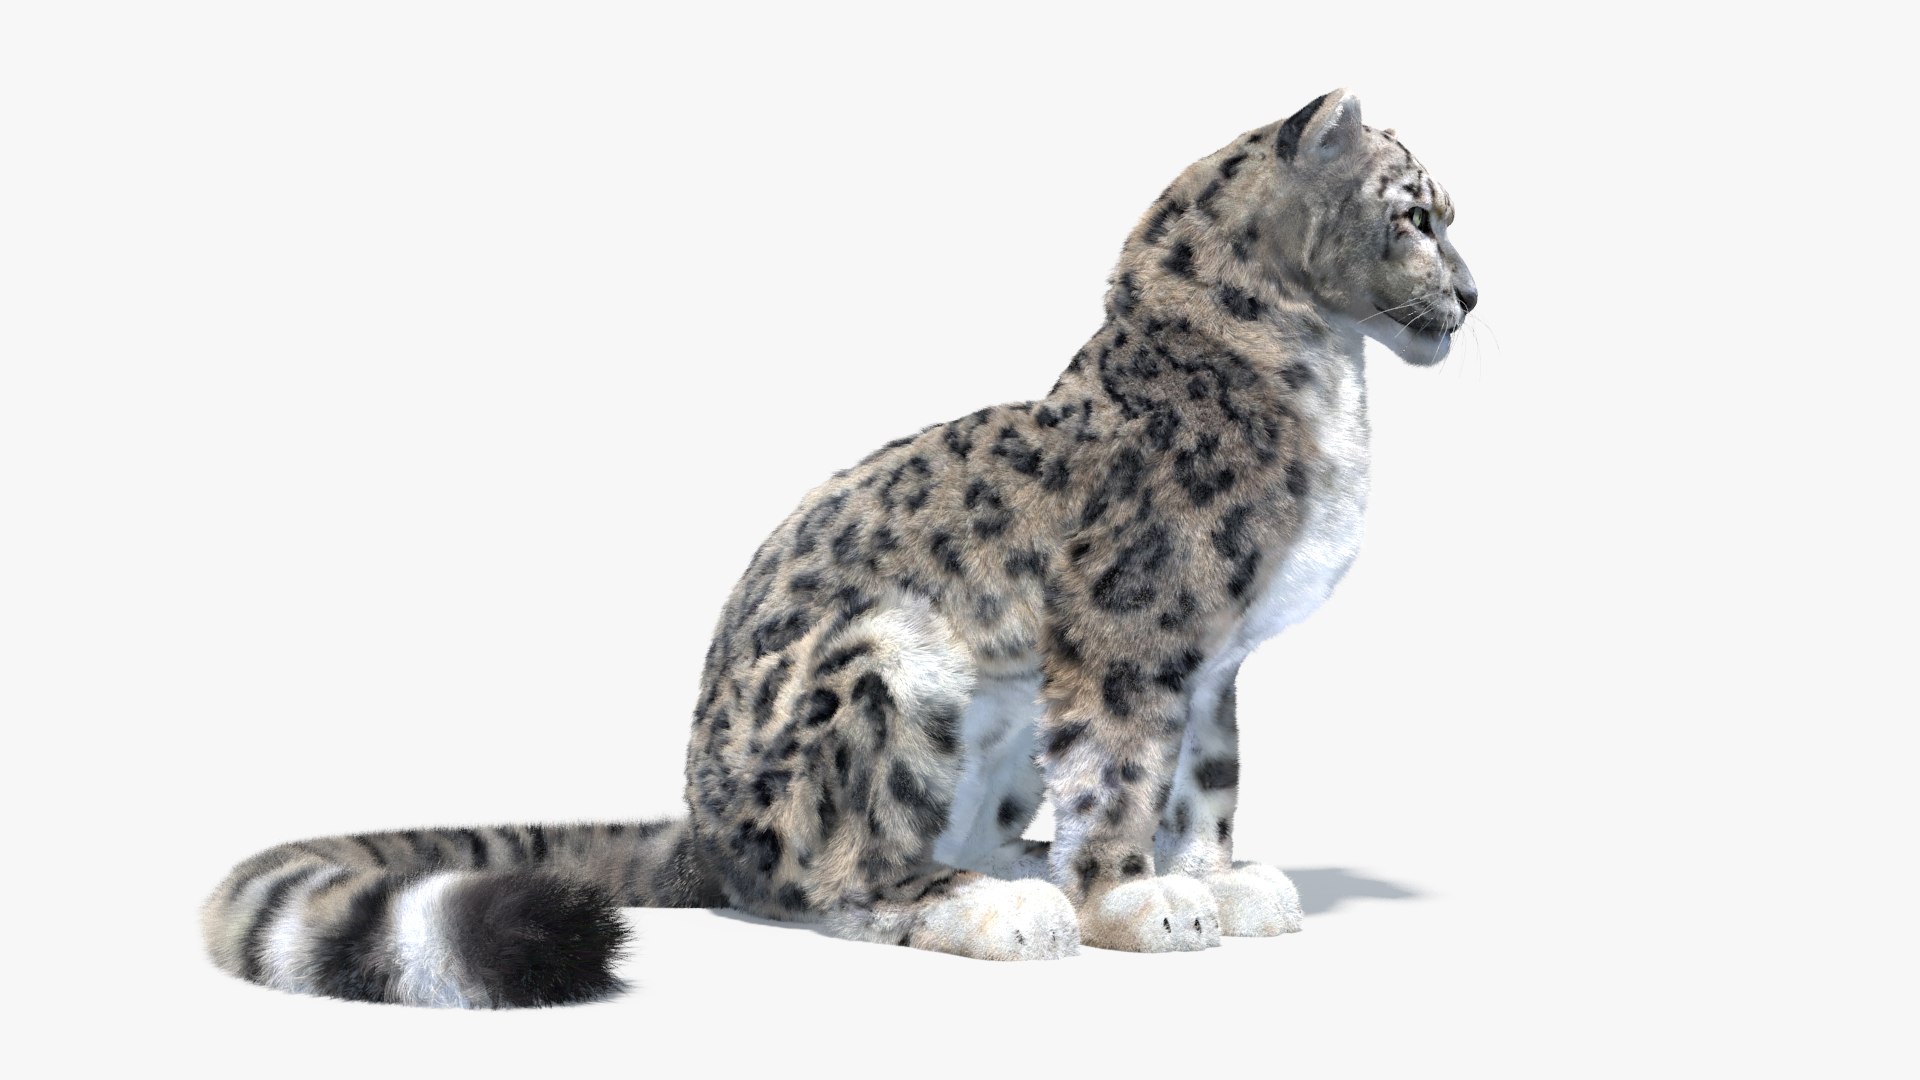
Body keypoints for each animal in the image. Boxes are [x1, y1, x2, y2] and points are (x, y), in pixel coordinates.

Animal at [202, 89, 1476, 1007]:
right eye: (1415, 215)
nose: (1471, 294)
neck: (1330, 386)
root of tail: (704, 818)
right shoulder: (1132, 636)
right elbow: (1123, 777)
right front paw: (1136, 901)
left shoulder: (1213, 661)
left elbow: (1205, 780)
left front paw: (1216, 876)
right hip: (891, 661)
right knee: (832, 876)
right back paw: (1002, 905)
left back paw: (1018, 865)